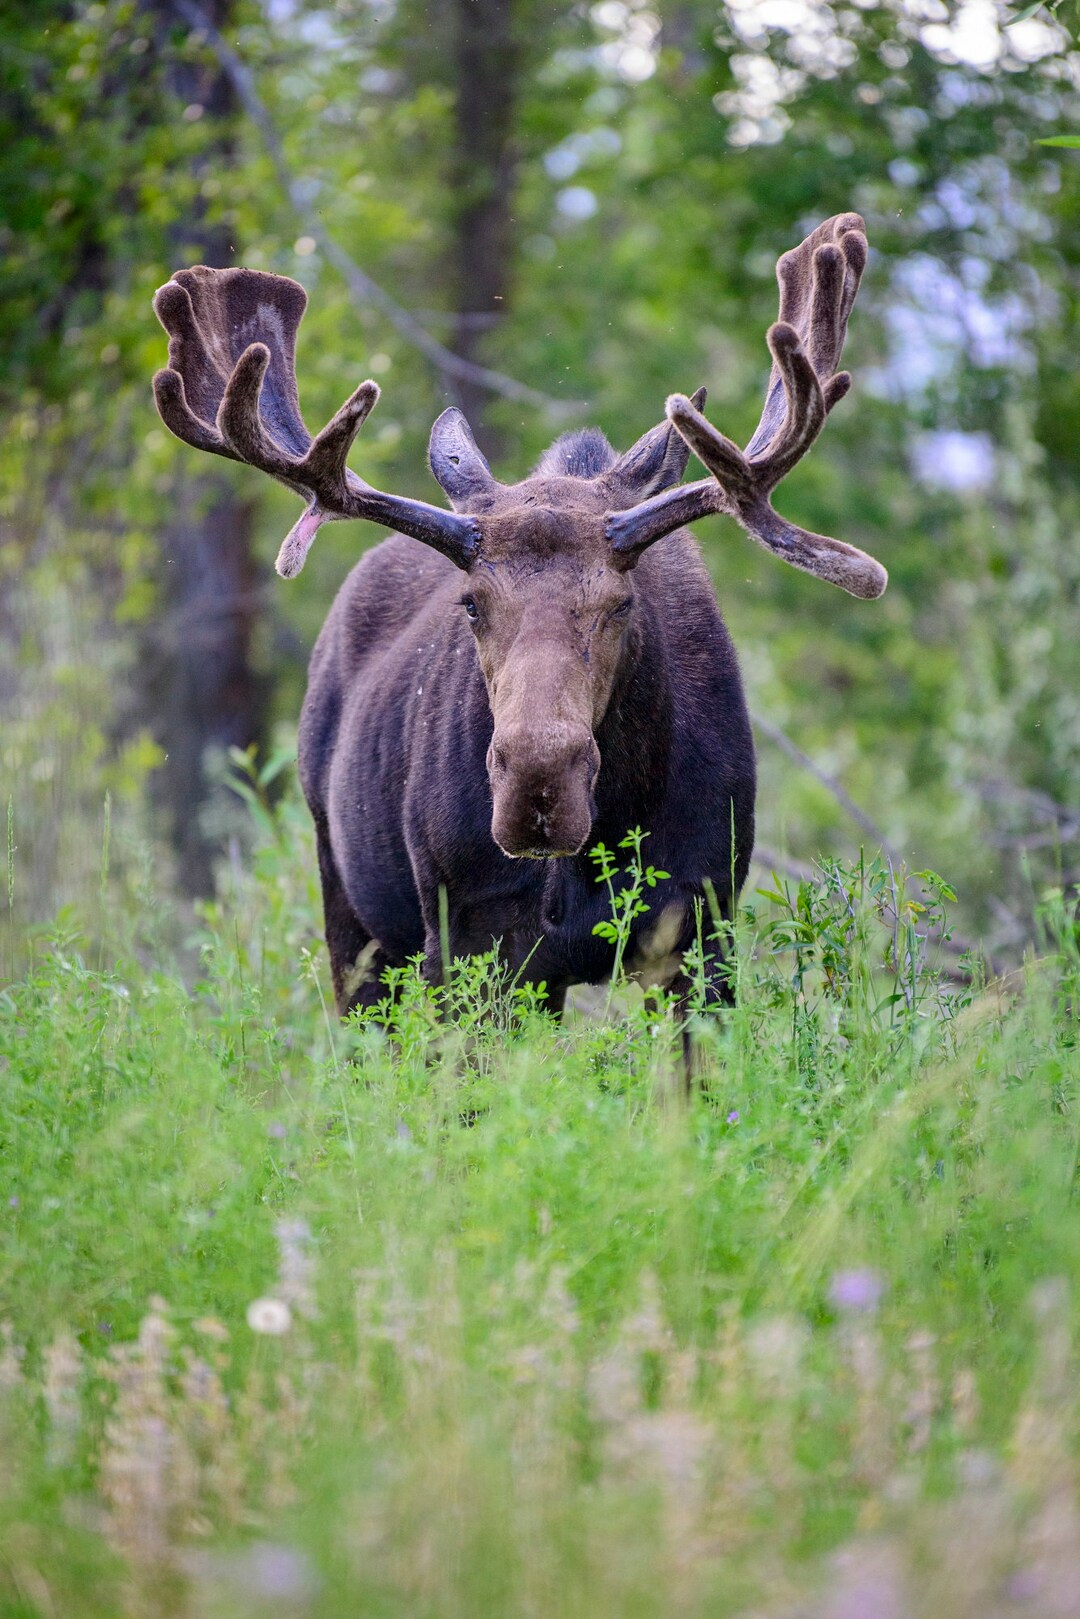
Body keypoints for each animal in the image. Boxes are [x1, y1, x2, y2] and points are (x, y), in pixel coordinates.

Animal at [152, 212, 886, 1029]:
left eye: (623, 601)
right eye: (471, 601)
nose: (539, 784)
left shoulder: (699, 928)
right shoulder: (473, 939)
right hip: (350, 905)